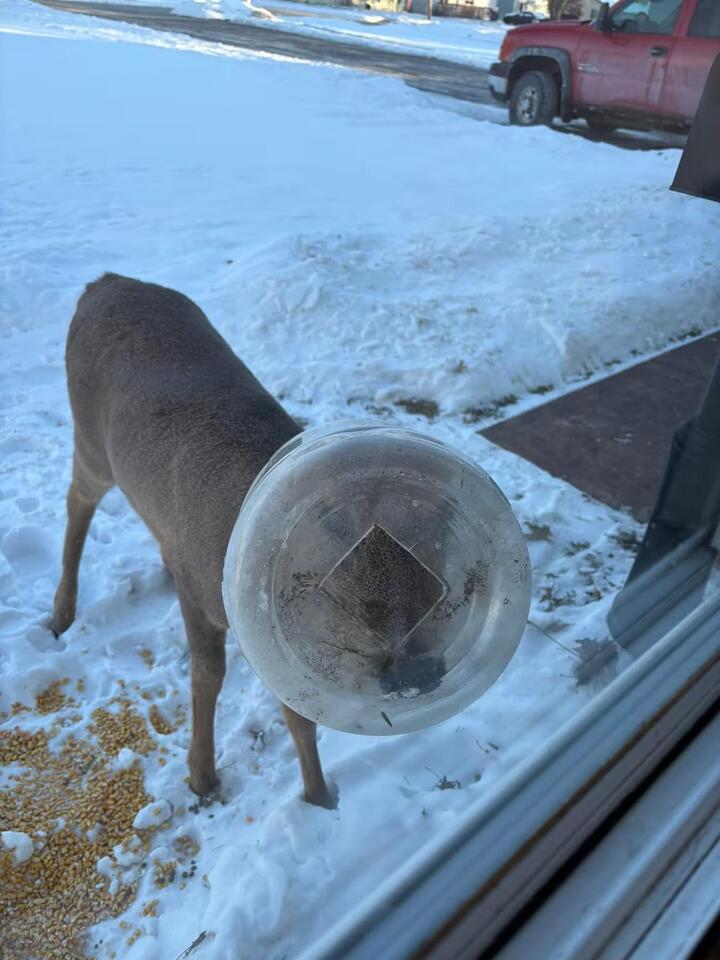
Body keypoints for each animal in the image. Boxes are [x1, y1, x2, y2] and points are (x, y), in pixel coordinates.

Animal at [51, 272, 335, 809]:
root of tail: (103, 282)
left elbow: (298, 715)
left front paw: (319, 796)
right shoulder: (202, 596)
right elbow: (208, 674)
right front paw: (202, 775)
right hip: (91, 441)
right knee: (77, 501)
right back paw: (61, 613)